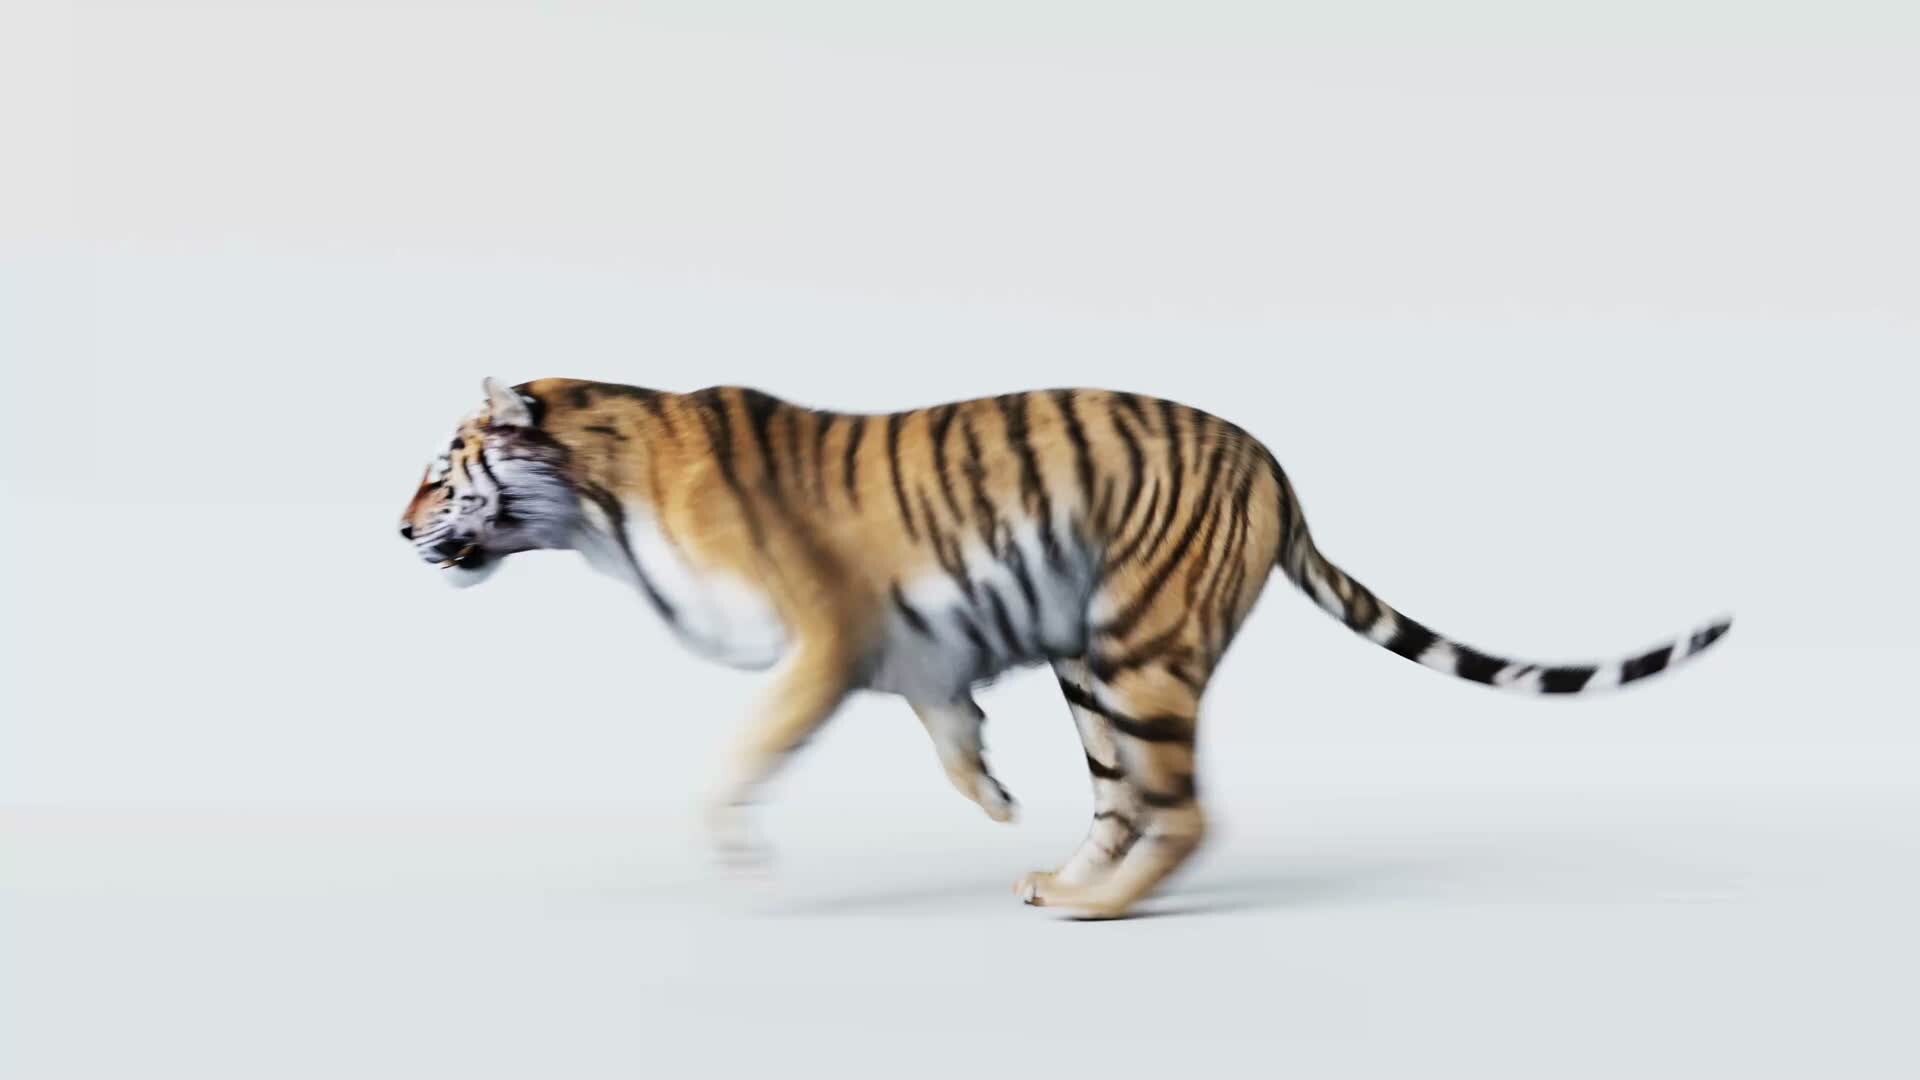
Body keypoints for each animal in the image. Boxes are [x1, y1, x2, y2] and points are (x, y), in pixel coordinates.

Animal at [398, 376, 1732, 919]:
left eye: (441, 469)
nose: (400, 528)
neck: (605, 509)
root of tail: (1276, 467)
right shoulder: (908, 648)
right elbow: (946, 727)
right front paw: (991, 796)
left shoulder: (825, 638)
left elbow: (745, 751)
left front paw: (734, 848)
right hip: (1091, 659)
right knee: (1124, 797)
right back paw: (1064, 880)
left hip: (1140, 644)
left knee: (1183, 810)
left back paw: (1104, 912)